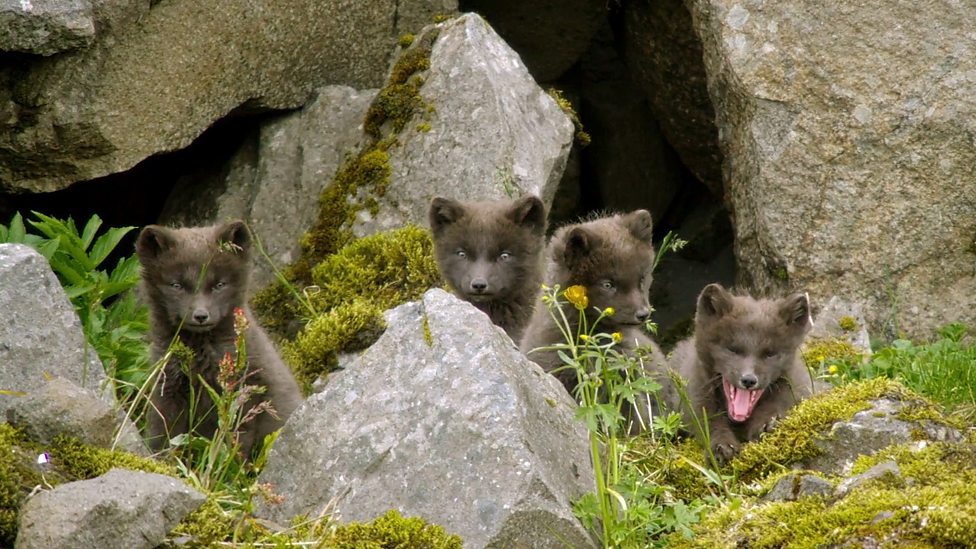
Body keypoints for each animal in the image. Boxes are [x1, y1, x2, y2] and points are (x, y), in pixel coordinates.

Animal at [136, 220, 302, 457]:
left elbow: (236, 440)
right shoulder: (166, 384)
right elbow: (161, 433)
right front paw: (159, 458)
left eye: (219, 285)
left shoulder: (246, 387)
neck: (200, 357)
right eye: (176, 285)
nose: (201, 316)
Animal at [672, 283, 814, 465]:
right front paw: (722, 446)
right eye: (732, 349)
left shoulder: (793, 389)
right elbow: (708, 423)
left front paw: (768, 425)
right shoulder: (695, 400)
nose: (748, 379)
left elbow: (776, 406)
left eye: (770, 353)